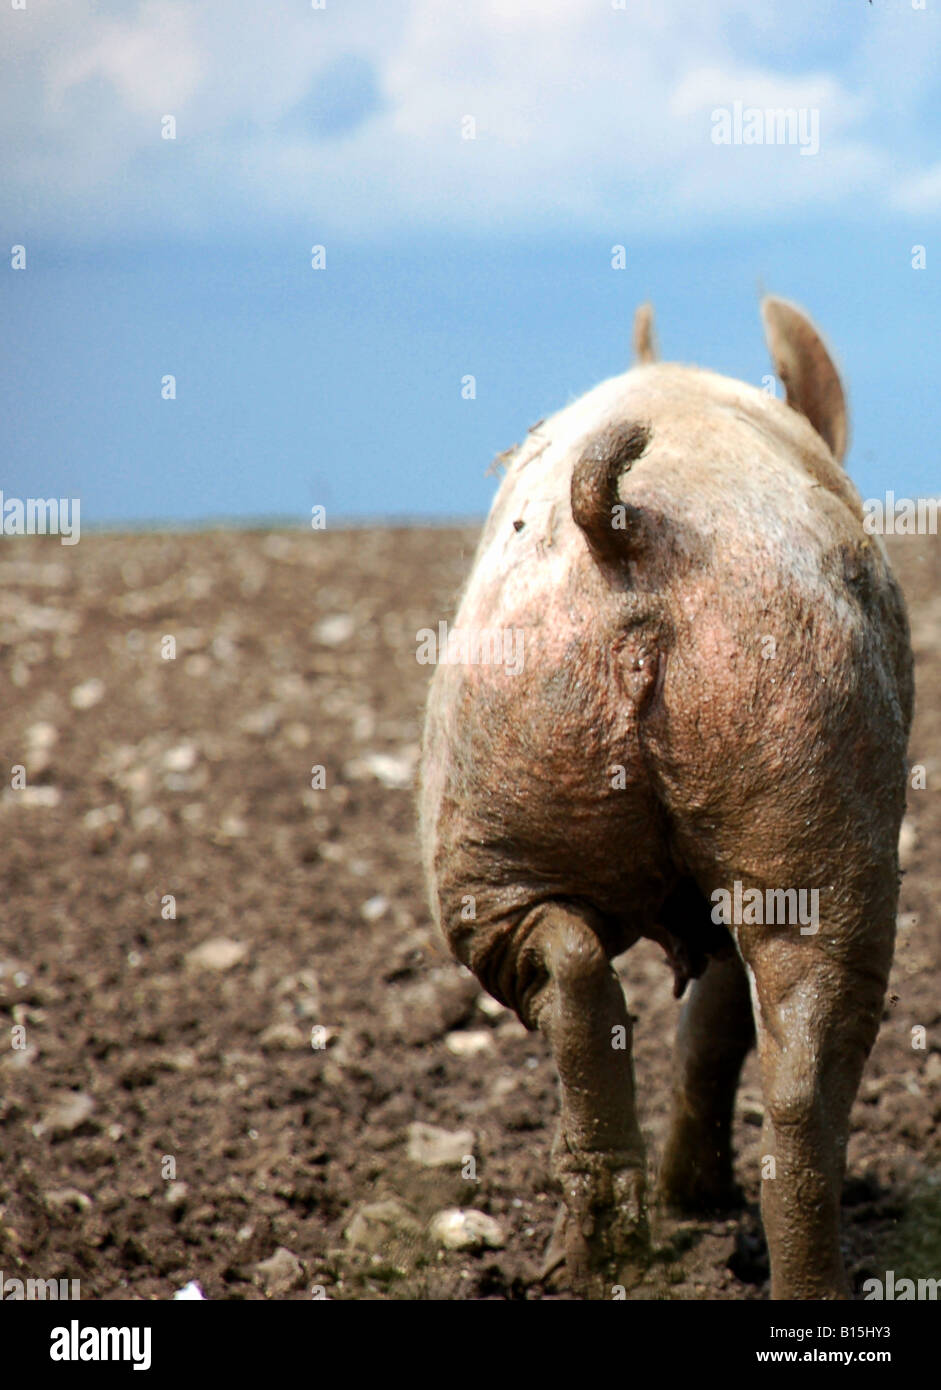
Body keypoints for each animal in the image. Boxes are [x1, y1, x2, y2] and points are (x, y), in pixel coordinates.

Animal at [418, 298, 913, 1300]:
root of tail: (622, 522)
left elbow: (711, 1018)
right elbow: (713, 1020)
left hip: (497, 813)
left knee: (589, 976)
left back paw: (611, 1257)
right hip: (795, 776)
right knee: (789, 1063)